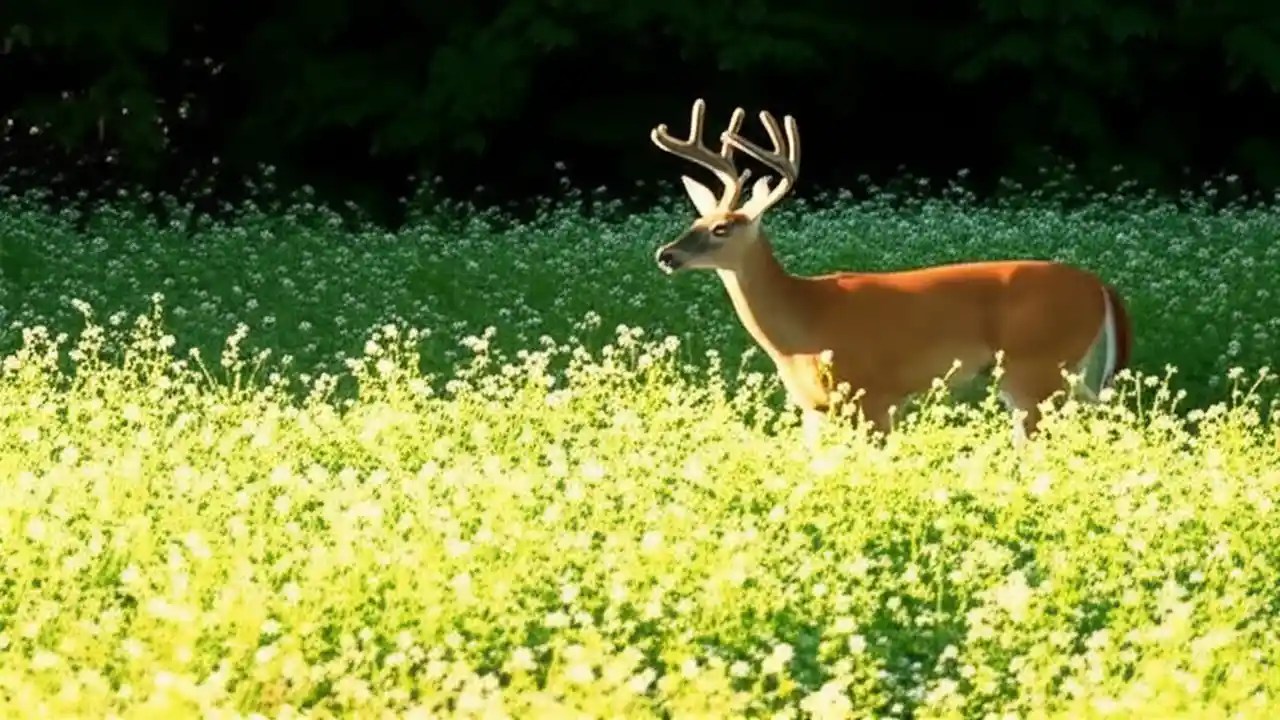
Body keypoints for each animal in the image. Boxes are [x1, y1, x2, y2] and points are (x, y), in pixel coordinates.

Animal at [648, 98, 1132, 445]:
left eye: (721, 228)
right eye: (695, 219)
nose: (665, 255)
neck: (802, 324)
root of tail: (1101, 286)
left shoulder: (874, 397)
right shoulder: (814, 408)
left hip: (1037, 367)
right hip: (1068, 369)